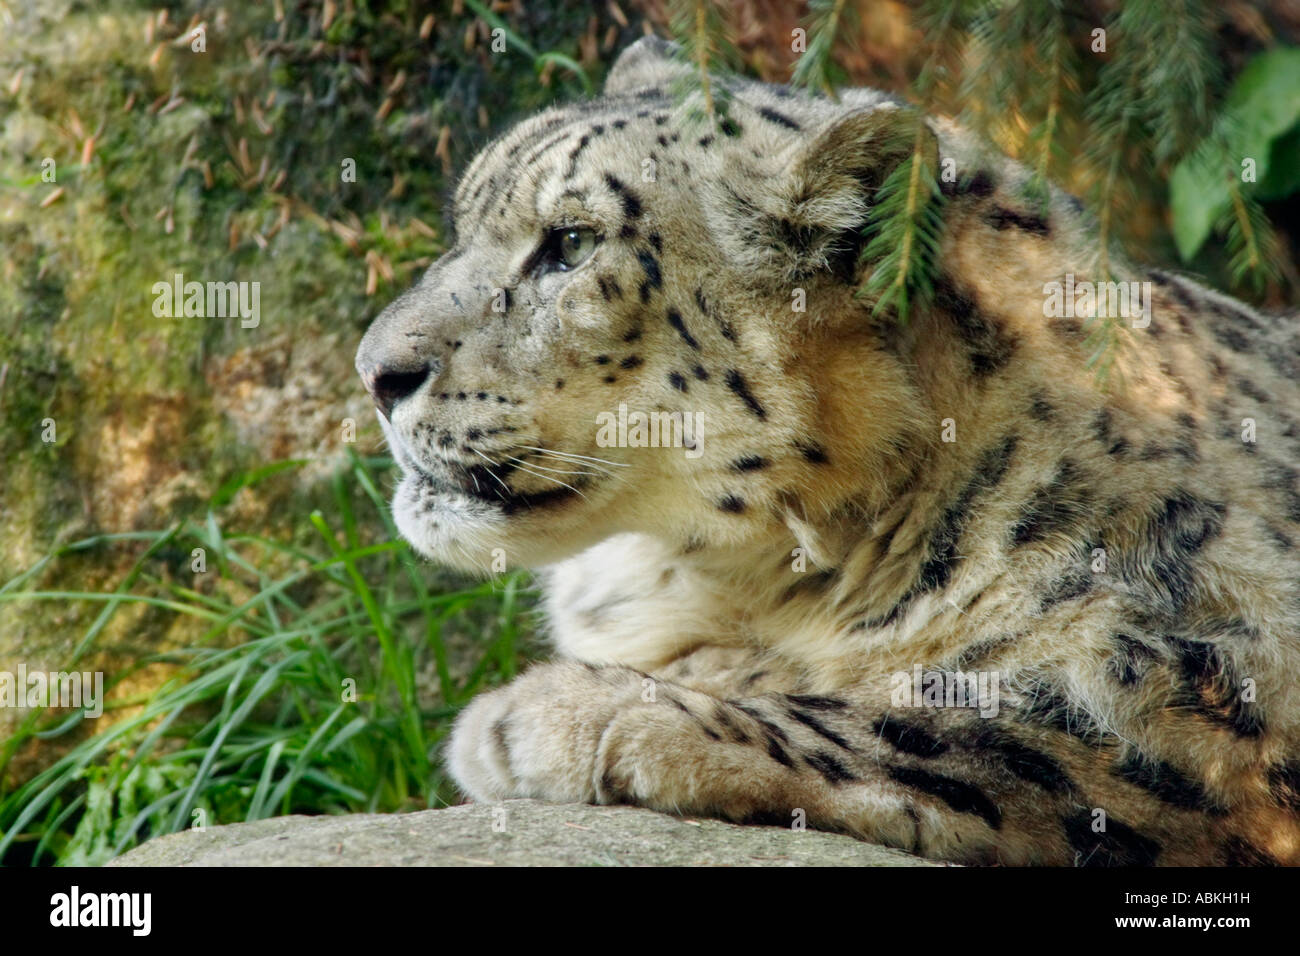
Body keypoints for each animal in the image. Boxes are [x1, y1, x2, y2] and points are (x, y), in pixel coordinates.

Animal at [355, 36, 1300, 865]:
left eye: (573, 244)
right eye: (463, 222)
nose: (374, 371)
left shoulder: (1201, 689)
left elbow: (948, 726)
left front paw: (551, 715)